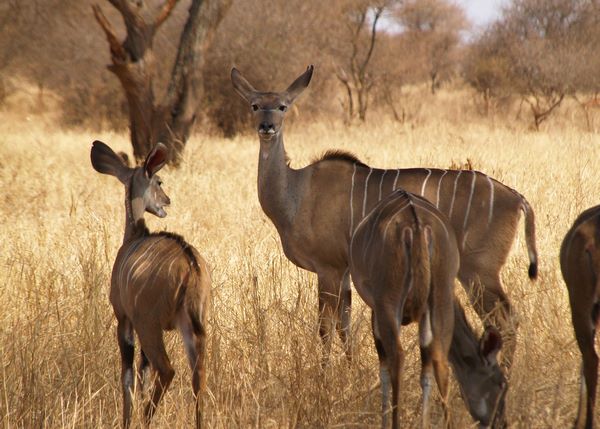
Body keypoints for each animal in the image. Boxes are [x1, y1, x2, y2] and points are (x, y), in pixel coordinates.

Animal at [90, 141, 210, 428]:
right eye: (159, 181)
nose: (167, 201)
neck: (135, 235)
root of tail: (189, 265)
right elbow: (142, 374)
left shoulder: (124, 318)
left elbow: (128, 377)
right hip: (192, 326)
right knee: (198, 375)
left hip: (149, 325)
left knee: (167, 369)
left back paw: (146, 418)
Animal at [231, 64, 540, 368]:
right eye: (255, 105)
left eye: (282, 106)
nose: (267, 127)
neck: (297, 192)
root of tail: (517, 199)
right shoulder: (344, 271)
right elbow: (344, 325)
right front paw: (351, 370)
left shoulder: (328, 268)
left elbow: (325, 327)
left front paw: (325, 373)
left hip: (479, 271)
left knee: (506, 321)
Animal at [352, 191, 506, 428]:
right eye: (501, 384)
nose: (502, 422)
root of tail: (417, 227)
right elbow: (426, 367)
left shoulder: (376, 309)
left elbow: (384, 367)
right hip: (439, 297)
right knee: (439, 361)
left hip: (389, 302)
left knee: (397, 356)